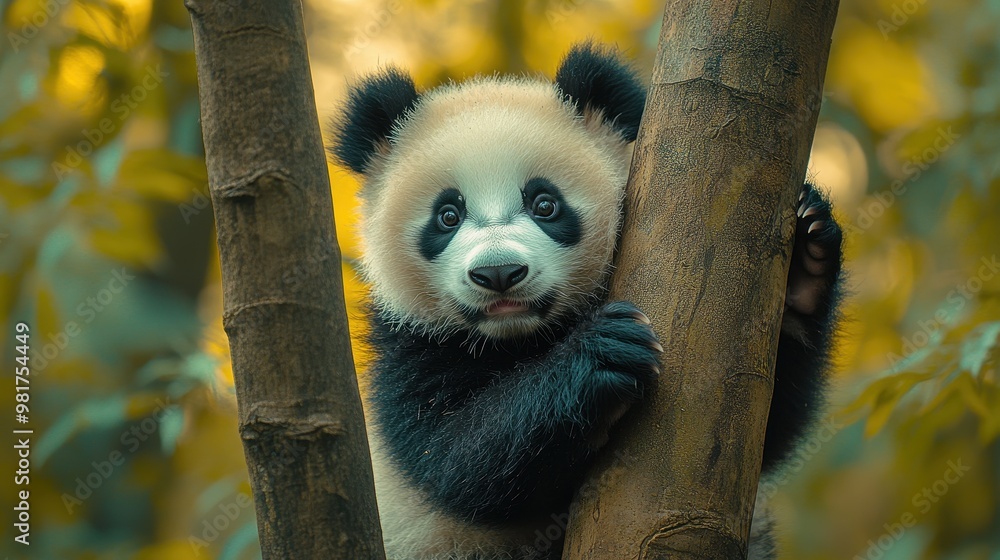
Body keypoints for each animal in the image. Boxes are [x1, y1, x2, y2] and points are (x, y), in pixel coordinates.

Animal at [329, 42, 843, 560]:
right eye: (448, 215)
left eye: (545, 204)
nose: (499, 274)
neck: (518, 337)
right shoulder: (407, 348)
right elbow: (454, 460)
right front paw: (601, 356)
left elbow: (757, 427)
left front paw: (806, 254)